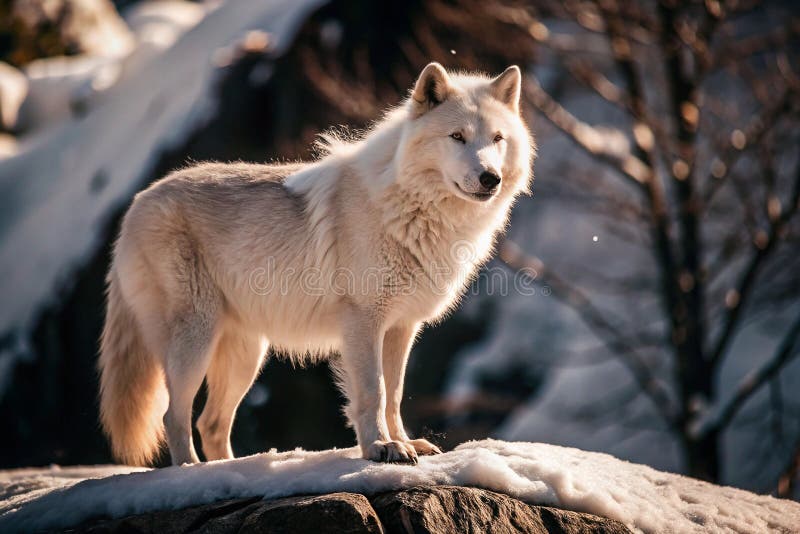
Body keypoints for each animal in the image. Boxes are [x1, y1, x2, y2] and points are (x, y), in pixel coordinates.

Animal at [99, 62, 535, 466]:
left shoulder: (402, 327)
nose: (490, 178)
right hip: (197, 339)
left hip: (246, 356)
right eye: (457, 137)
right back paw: (190, 471)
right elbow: (374, 392)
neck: (409, 210)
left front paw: (405, 443)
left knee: (210, 423)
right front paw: (380, 448)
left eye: (497, 139)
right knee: (174, 416)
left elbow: (394, 393)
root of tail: (137, 204)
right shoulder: (364, 321)